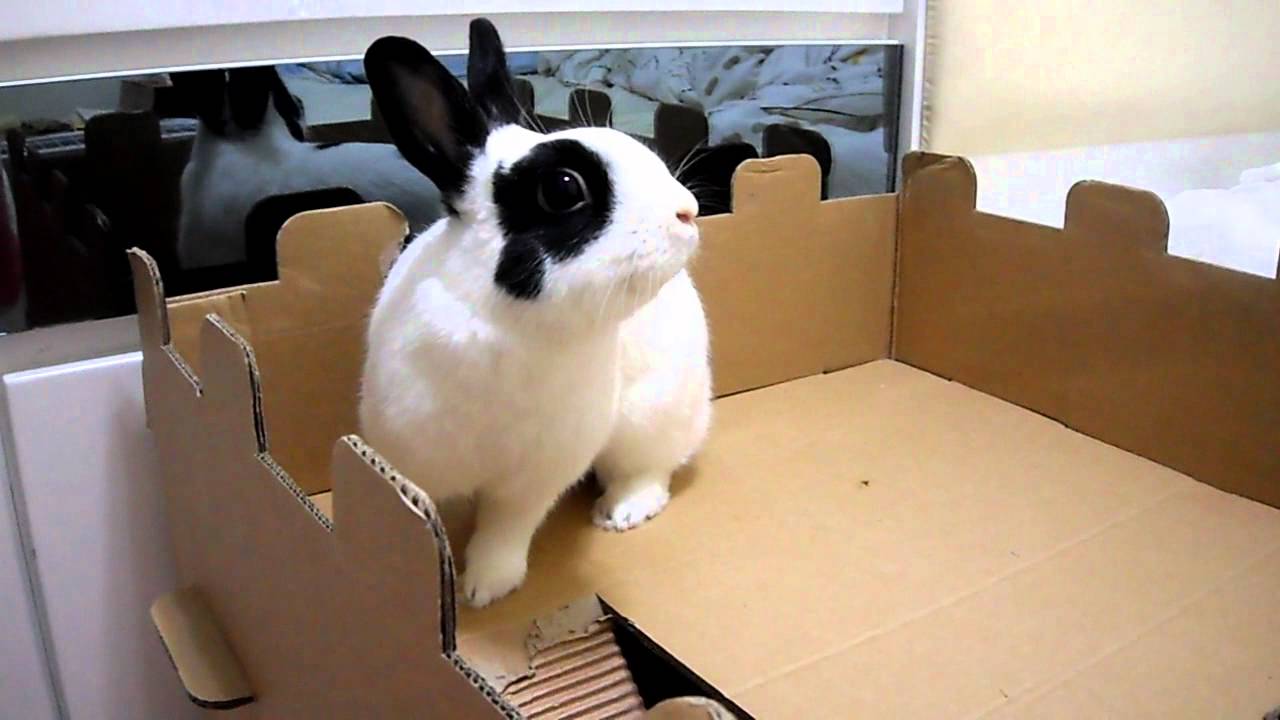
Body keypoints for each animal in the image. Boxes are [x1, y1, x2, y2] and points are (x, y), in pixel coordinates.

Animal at [358, 18, 713, 608]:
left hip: (651, 417)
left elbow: (507, 528)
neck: (515, 327)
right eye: (564, 187)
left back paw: (622, 511)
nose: (688, 211)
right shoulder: (412, 456)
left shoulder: (535, 478)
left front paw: (484, 589)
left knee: (652, 469)